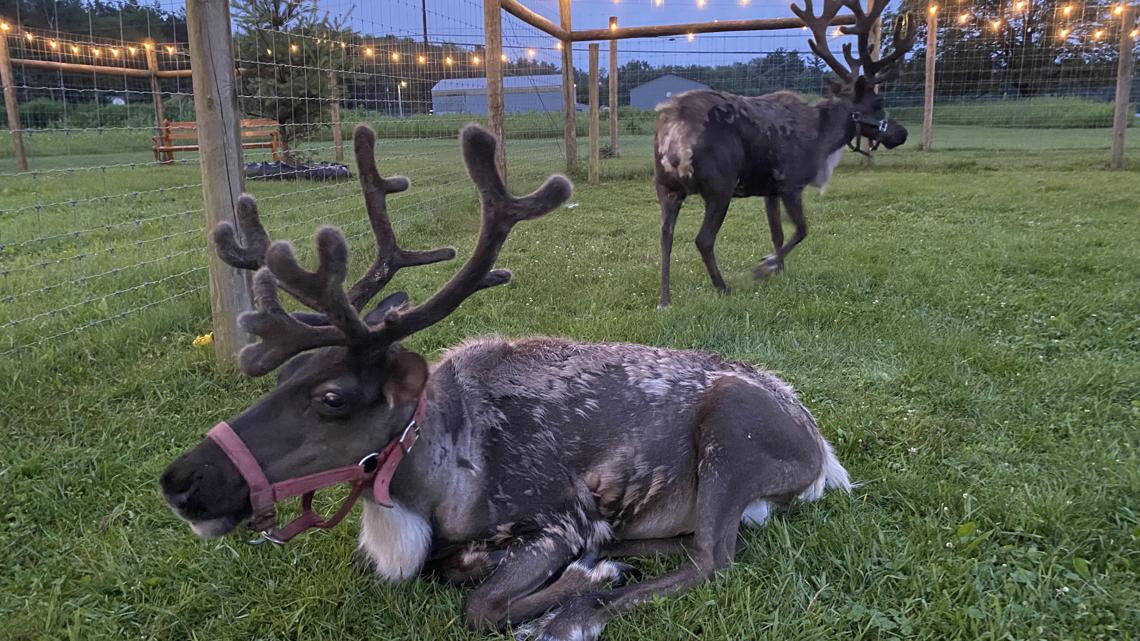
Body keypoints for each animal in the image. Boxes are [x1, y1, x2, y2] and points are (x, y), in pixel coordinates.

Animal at [160, 122, 852, 641]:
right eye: (282, 374)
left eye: (332, 399)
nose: (181, 481)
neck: (430, 483)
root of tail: (822, 452)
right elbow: (456, 570)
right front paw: (582, 568)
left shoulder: (558, 518)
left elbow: (482, 606)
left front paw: (584, 581)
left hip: (730, 438)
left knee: (710, 560)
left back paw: (579, 607)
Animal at [654, 0, 917, 307]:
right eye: (878, 102)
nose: (902, 133)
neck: (823, 138)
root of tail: (674, 127)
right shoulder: (791, 182)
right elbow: (802, 230)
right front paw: (765, 266)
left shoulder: (769, 189)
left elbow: (777, 233)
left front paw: (780, 271)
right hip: (720, 186)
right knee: (703, 239)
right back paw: (722, 287)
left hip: (666, 186)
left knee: (665, 235)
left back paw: (665, 299)